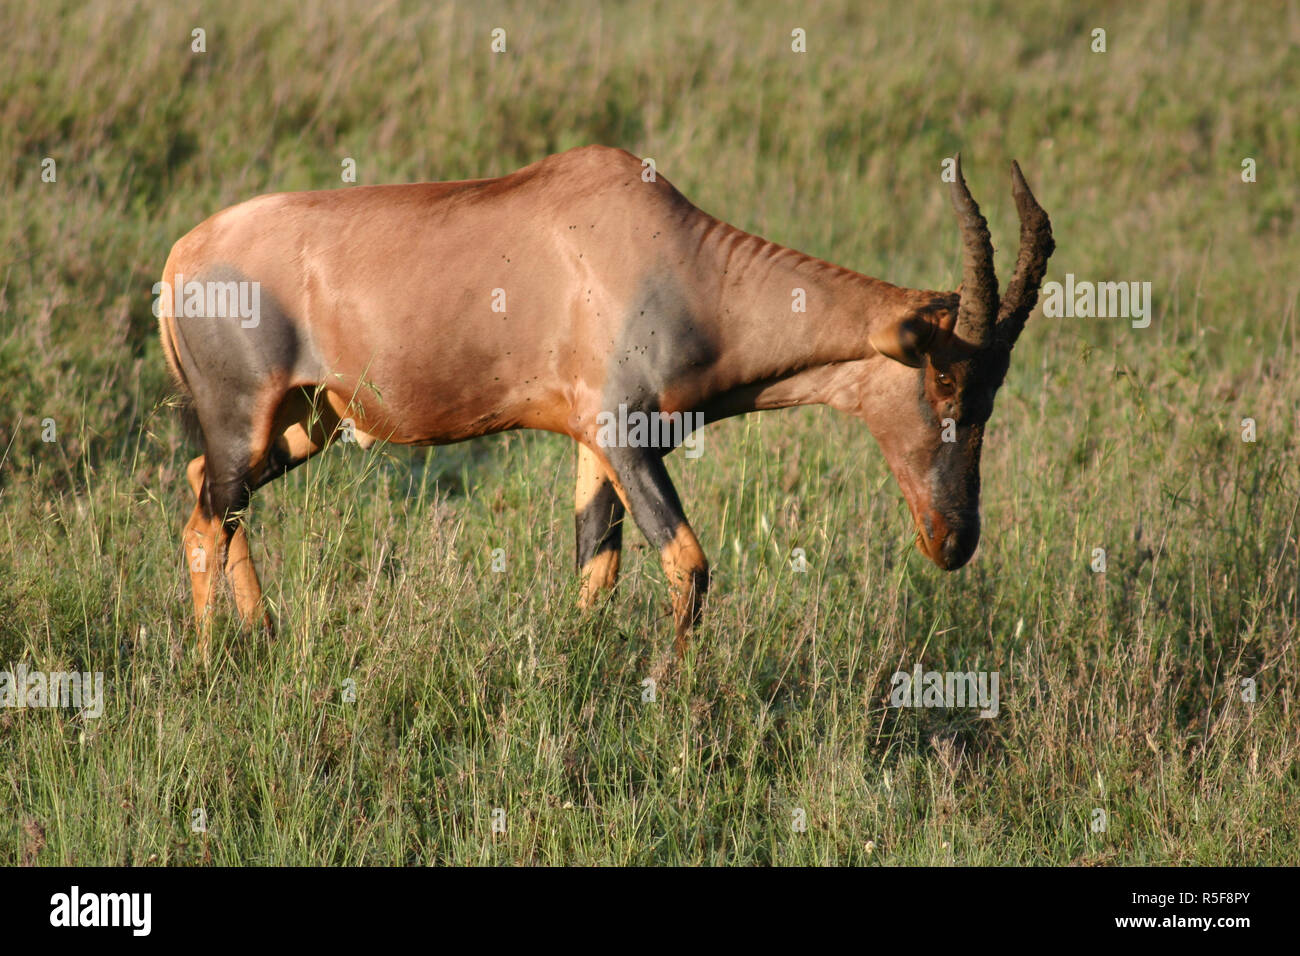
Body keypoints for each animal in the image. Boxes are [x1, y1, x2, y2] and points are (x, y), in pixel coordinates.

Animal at [157, 146, 1053, 658]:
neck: (677, 258)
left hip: (308, 424)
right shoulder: (627, 437)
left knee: (210, 492)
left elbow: (598, 567)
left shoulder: (596, 443)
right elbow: (688, 562)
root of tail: (179, 257)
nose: (953, 541)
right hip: (247, 416)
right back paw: (209, 666)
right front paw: (676, 705)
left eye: (994, 389)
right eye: (942, 380)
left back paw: (265, 637)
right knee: (207, 517)